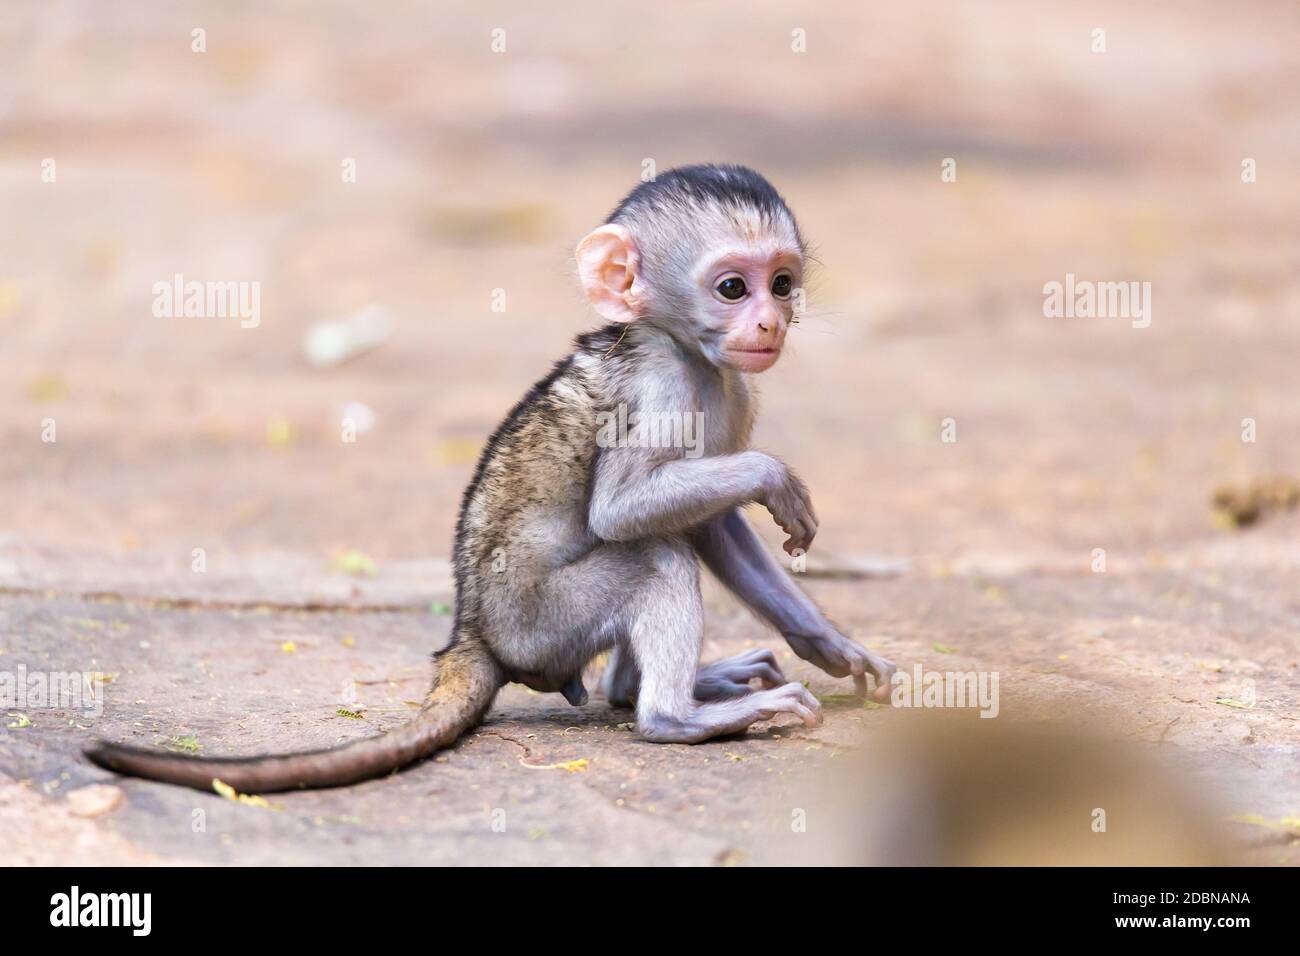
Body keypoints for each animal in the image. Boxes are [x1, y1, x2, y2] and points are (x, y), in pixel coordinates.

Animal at [86, 164, 897, 792]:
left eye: (782, 284)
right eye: (733, 288)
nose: (770, 323)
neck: (680, 349)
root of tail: (470, 628)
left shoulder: (734, 388)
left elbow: (712, 523)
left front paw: (830, 644)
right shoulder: (663, 387)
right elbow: (624, 512)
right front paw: (773, 478)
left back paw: (643, 689)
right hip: (541, 624)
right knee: (655, 558)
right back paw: (672, 715)